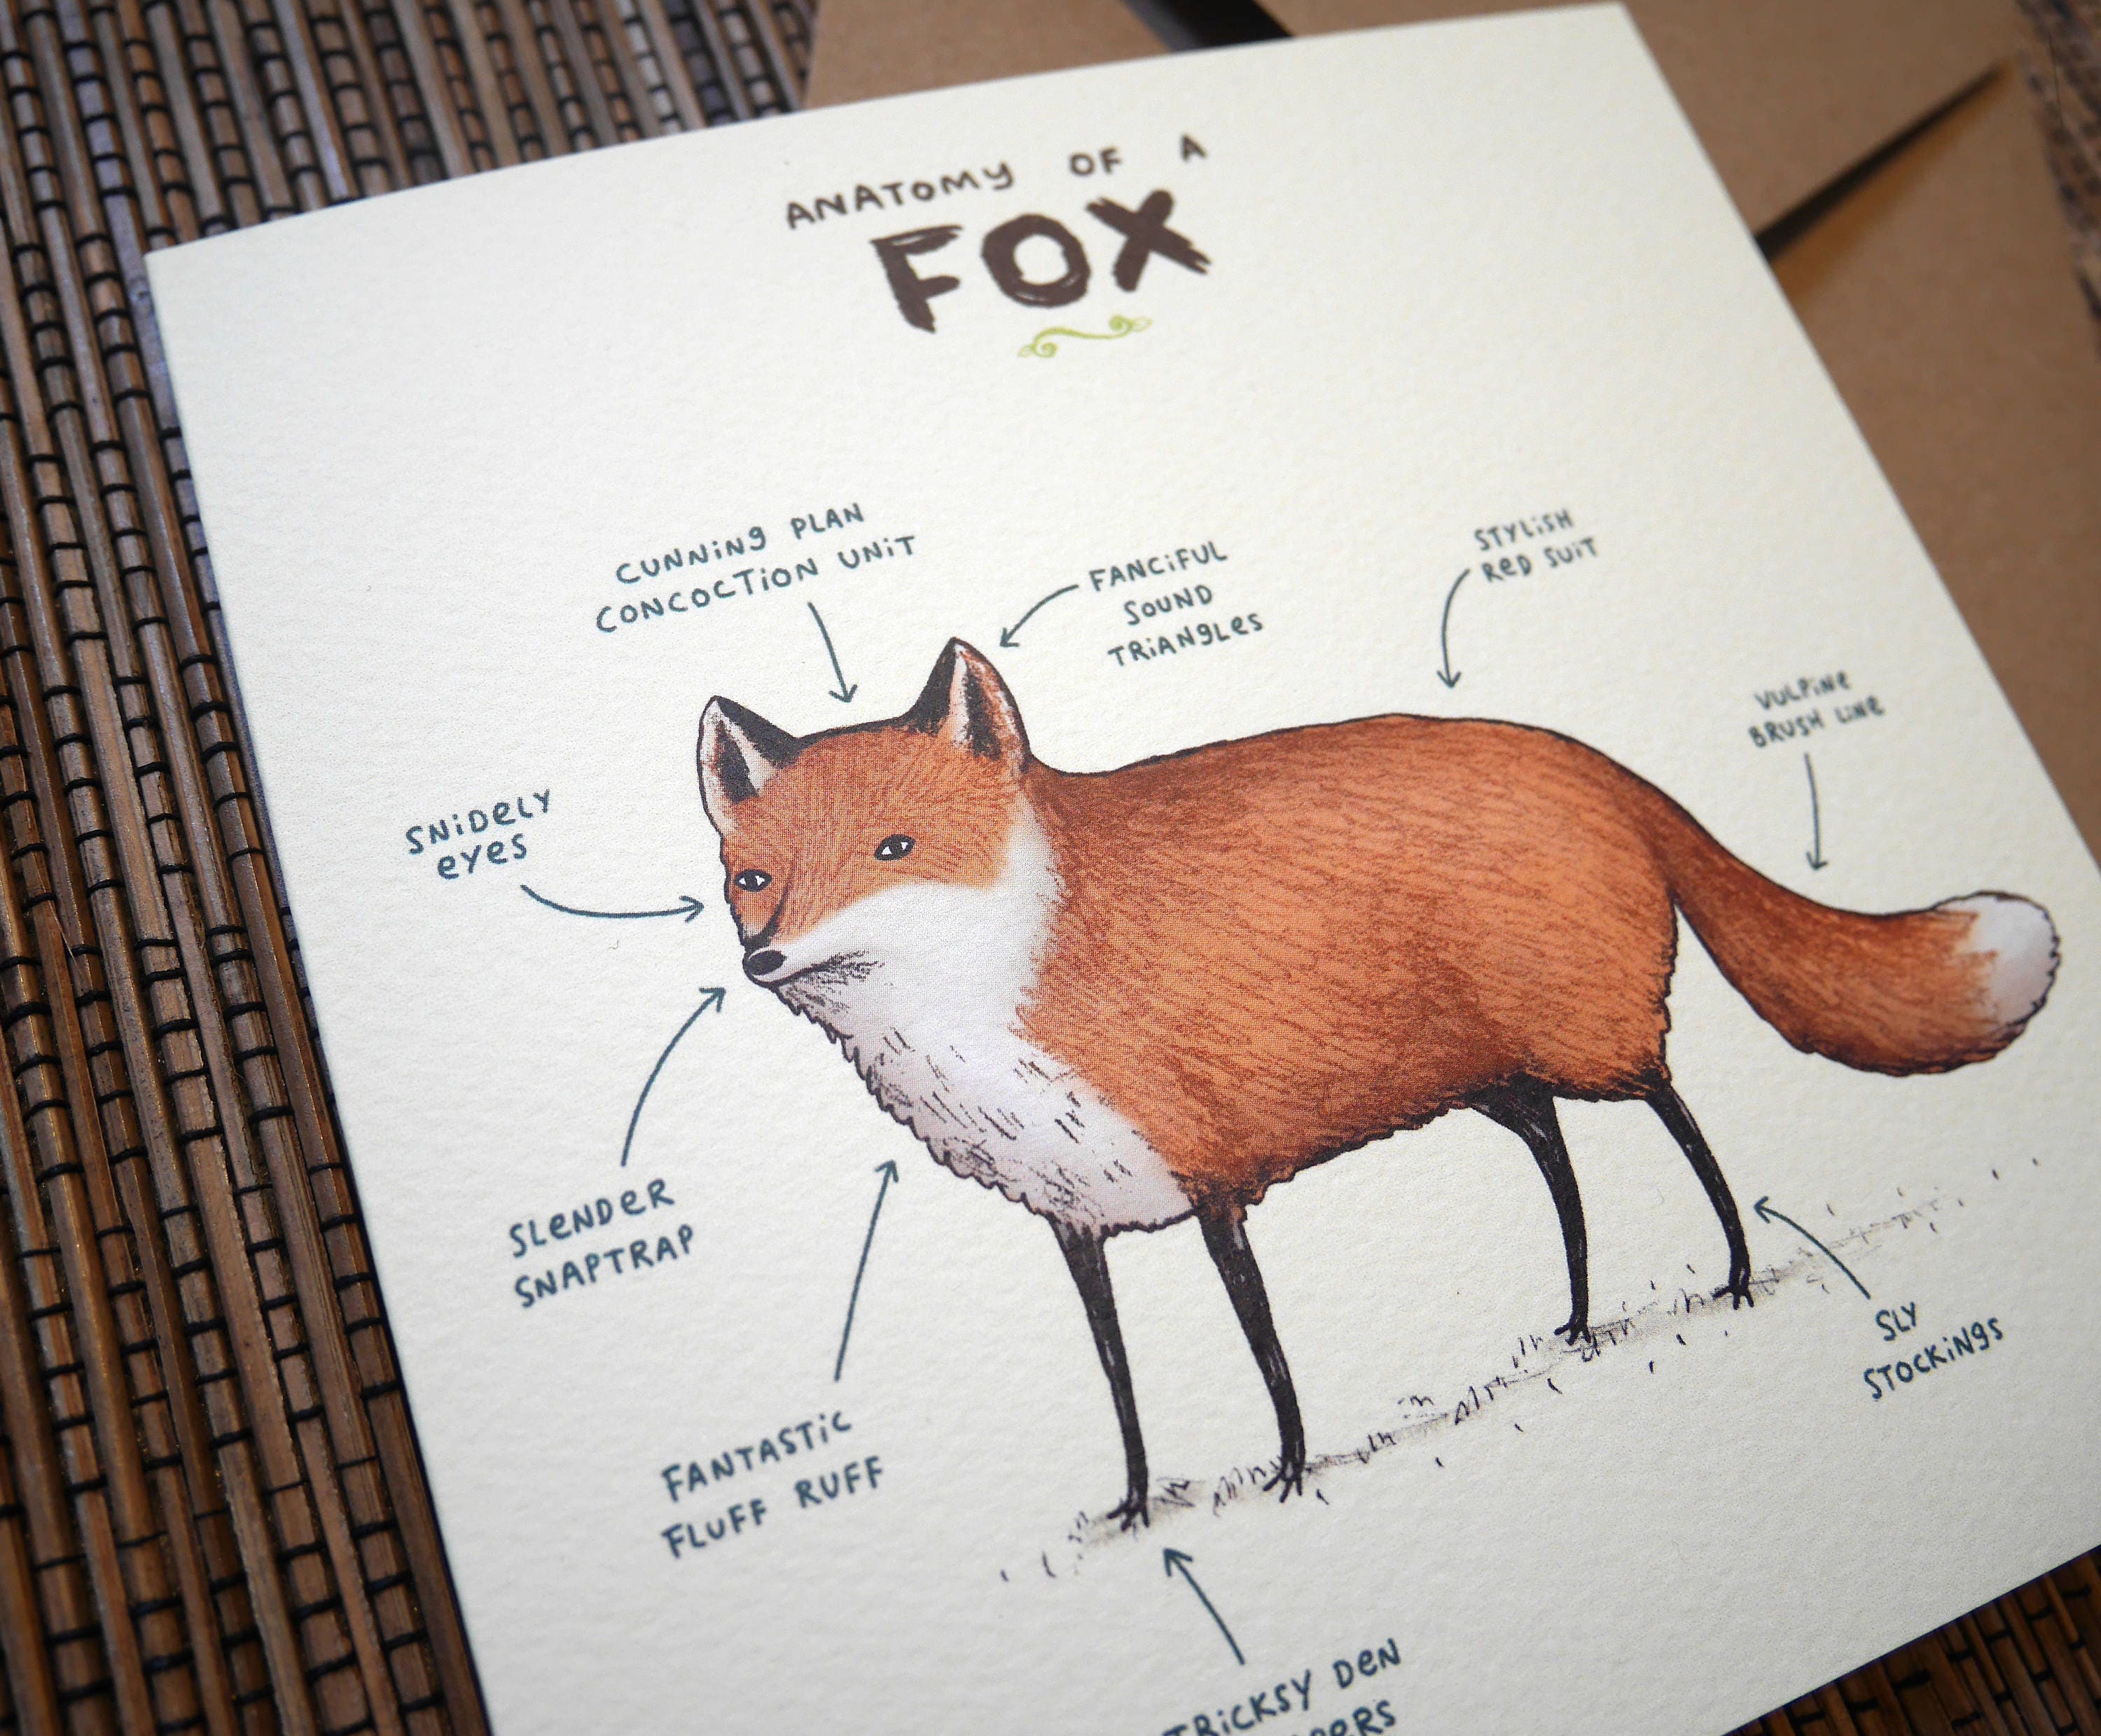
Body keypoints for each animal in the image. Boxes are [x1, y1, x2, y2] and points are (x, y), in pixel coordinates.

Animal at [697, 639, 2058, 1527]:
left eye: (895, 848)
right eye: (755, 878)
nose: (761, 959)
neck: (1017, 973)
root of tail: (1586, 758)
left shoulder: (1214, 1185)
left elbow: (1268, 1355)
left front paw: (1295, 1478)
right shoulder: (1076, 1217)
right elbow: (1124, 1386)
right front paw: (1136, 1509)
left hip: (1595, 1042)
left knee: (1686, 1121)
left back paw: (1731, 1273)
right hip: (1495, 1080)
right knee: (1561, 1161)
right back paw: (1577, 1324)